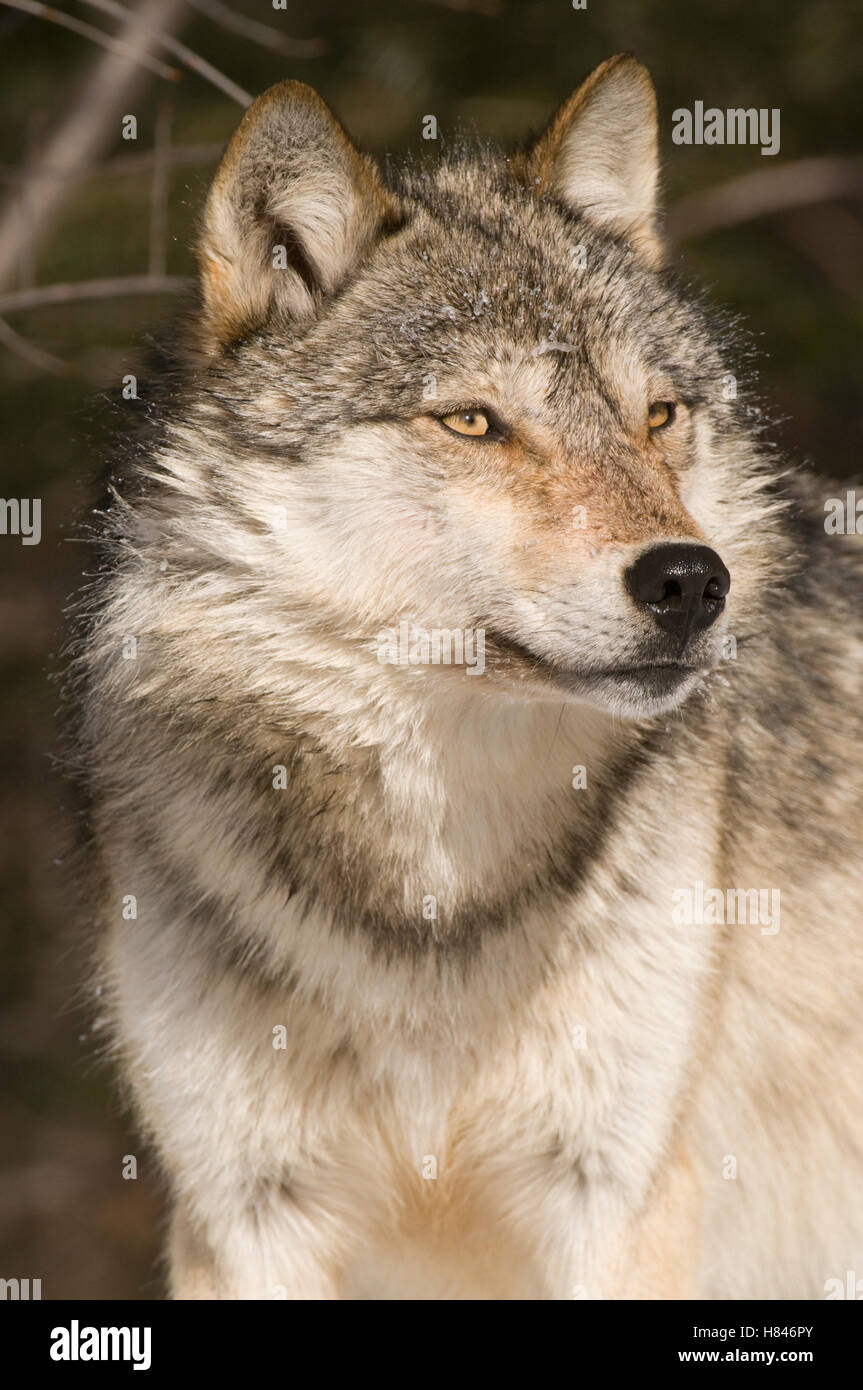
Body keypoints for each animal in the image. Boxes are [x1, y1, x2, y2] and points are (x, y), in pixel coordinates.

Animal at [72, 54, 863, 1299]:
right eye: (474, 422)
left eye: (656, 415)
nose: (692, 580)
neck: (431, 902)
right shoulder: (240, 1214)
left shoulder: (618, 1197)